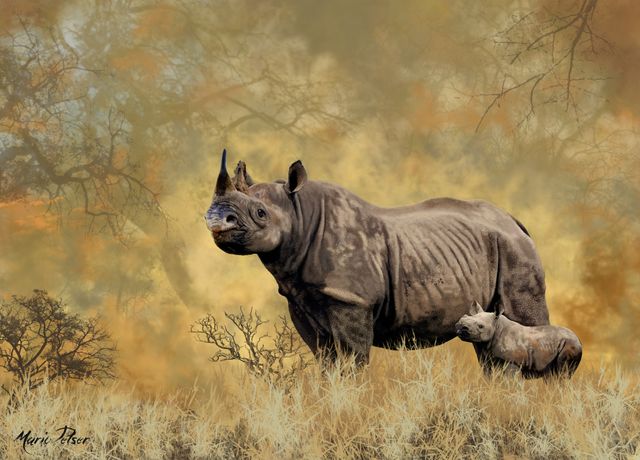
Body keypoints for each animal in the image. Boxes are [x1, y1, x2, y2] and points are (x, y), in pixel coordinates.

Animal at [204, 150, 550, 370]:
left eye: (261, 214)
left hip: (515, 250)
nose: (215, 219)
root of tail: (514, 221)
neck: (300, 214)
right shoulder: (300, 301)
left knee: (525, 321)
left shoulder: (352, 300)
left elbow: (351, 362)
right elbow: (325, 361)